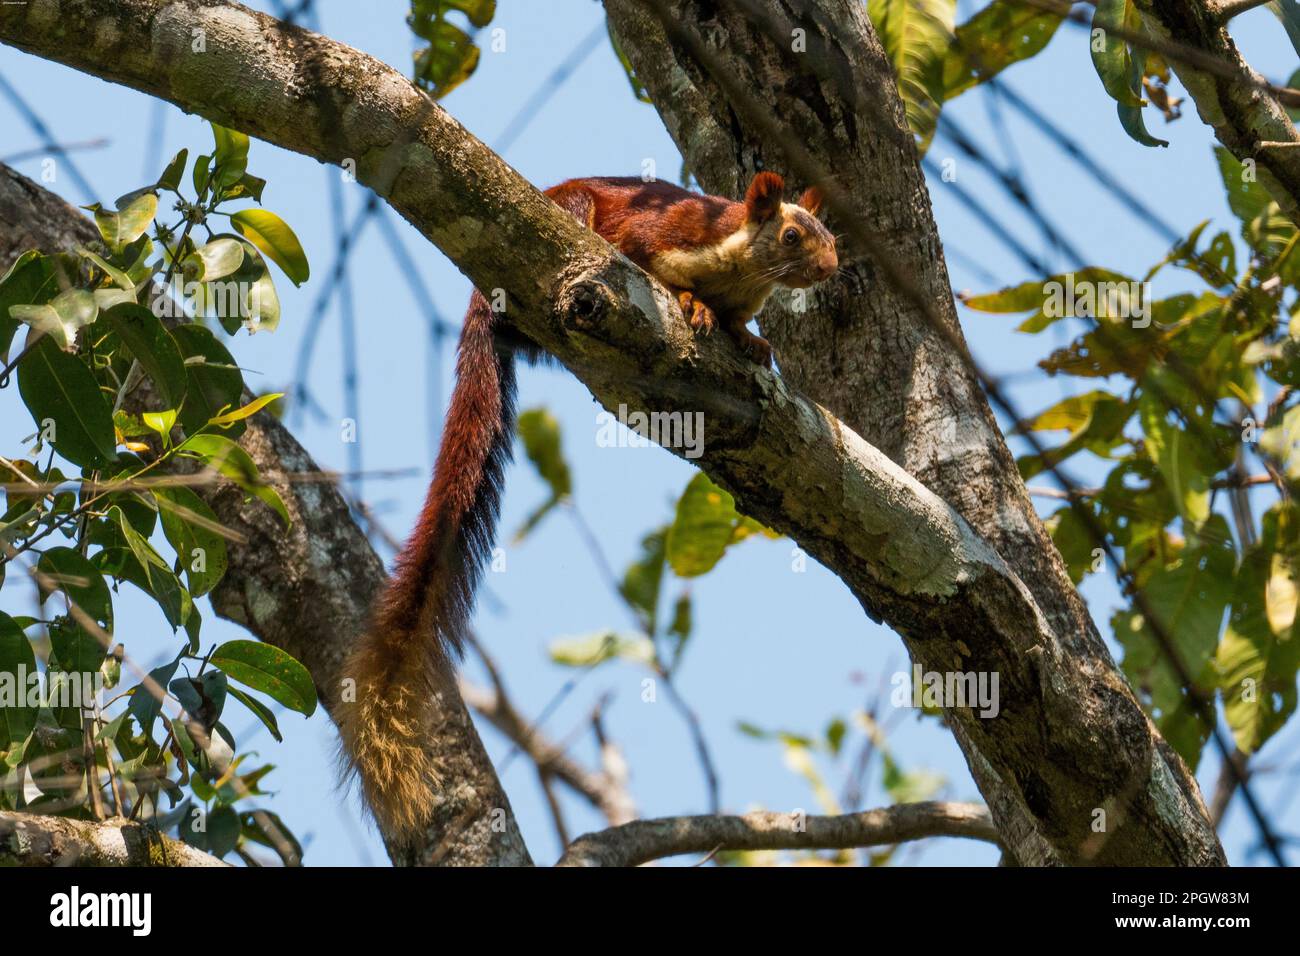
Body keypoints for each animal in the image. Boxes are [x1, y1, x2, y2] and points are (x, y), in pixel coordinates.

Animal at [337, 171, 838, 838]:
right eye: (790, 236)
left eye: (831, 236)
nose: (831, 268)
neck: (740, 270)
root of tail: (478, 308)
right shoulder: (666, 234)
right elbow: (652, 263)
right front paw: (695, 304)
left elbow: (741, 327)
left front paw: (750, 342)